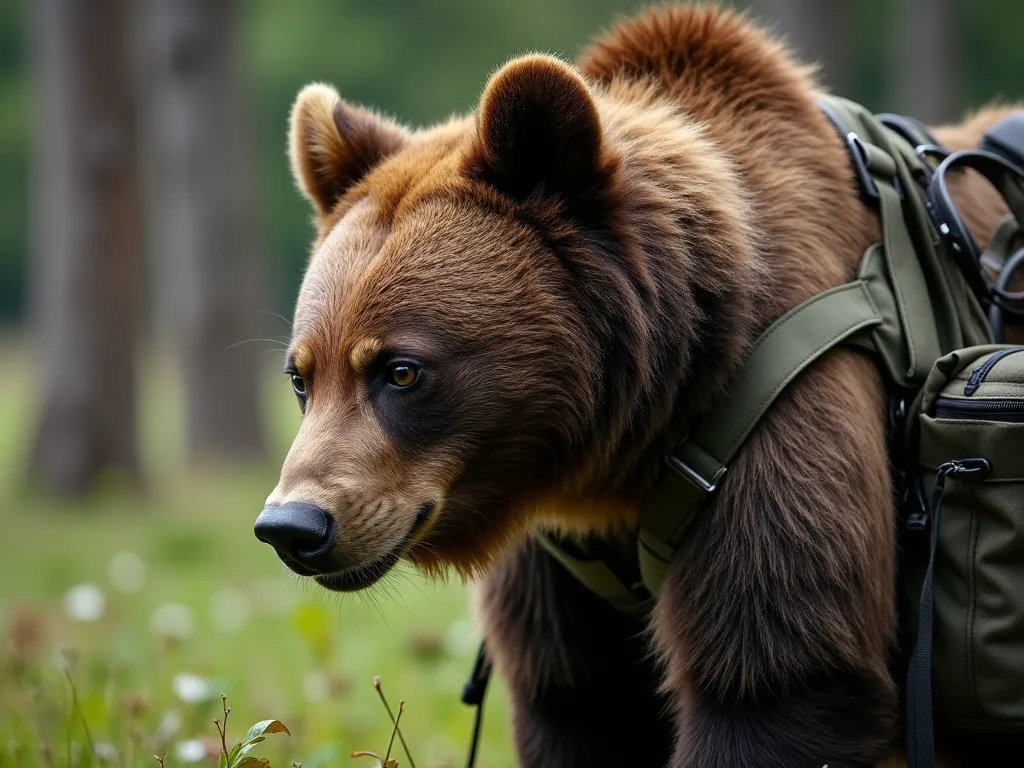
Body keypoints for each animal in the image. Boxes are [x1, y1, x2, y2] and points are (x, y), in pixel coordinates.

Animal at [254, 4, 1020, 767]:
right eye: (302, 376)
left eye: (401, 369)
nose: (293, 525)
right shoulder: (557, 558)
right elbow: (579, 702)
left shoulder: (778, 407)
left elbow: (776, 679)